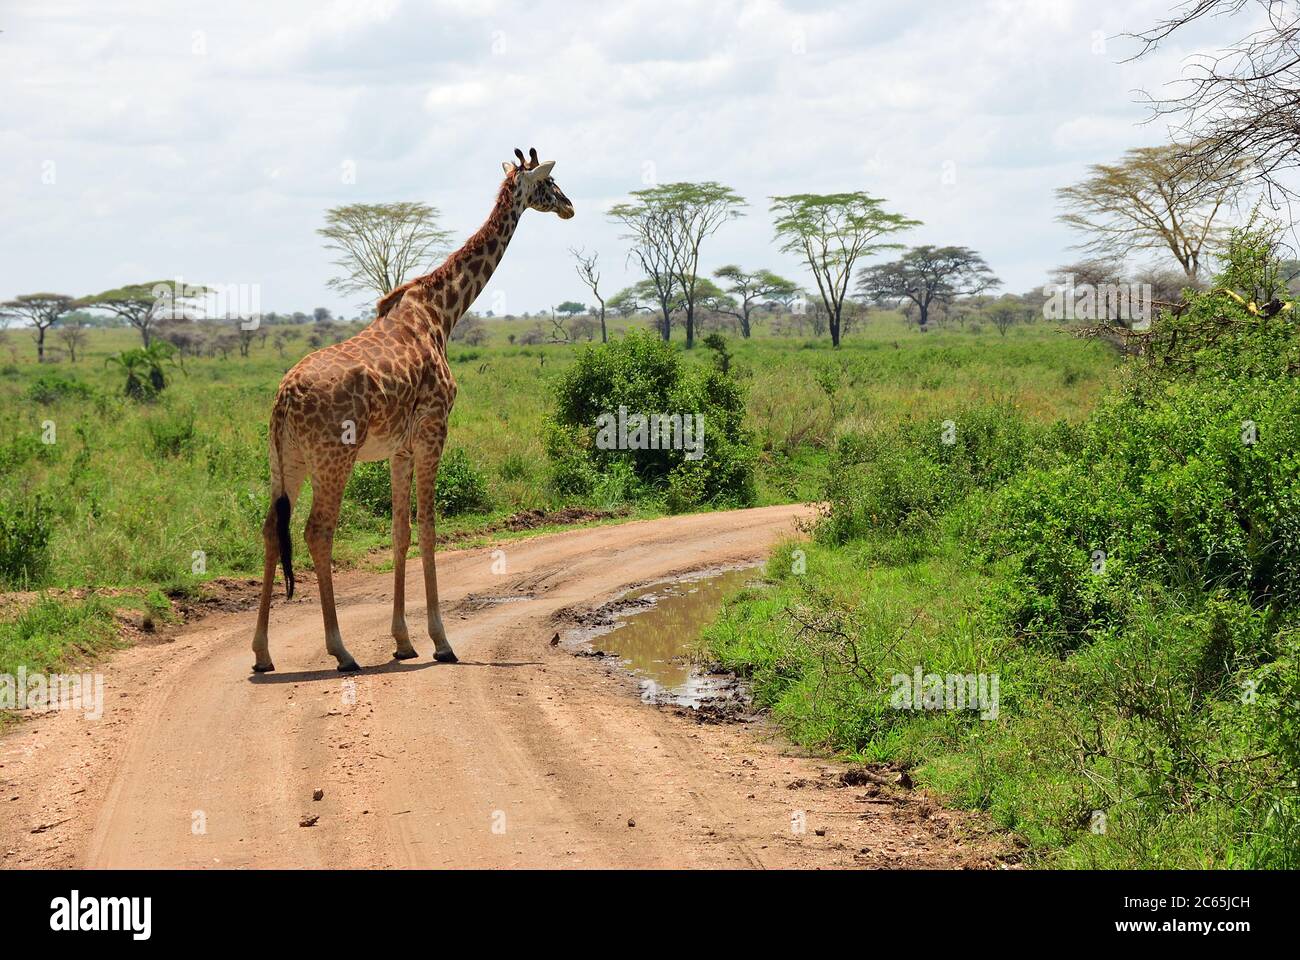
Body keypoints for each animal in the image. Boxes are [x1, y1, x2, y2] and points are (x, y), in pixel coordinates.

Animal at [251, 147, 574, 673]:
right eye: (549, 183)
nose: (570, 206)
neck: (442, 313)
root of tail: (283, 399)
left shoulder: (399, 448)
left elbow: (400, 532)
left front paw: (403, 642)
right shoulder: (433, 430)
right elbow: (429, 529)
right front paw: (441, 642)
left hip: (286, 460)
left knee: (270, 530)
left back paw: (262, 653)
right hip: (333, 458)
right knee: (318, 531)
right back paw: (341, 650)